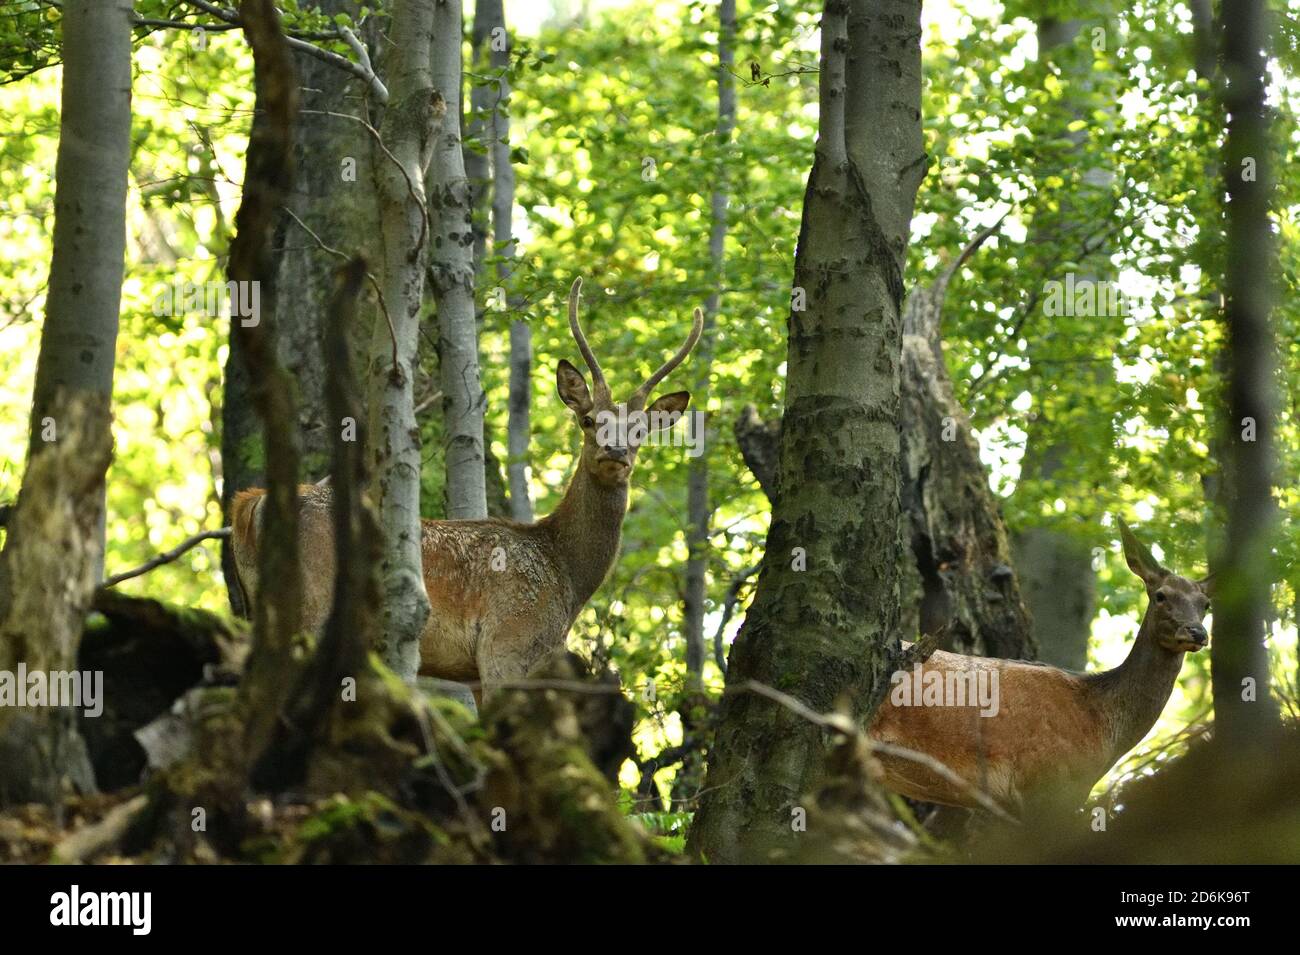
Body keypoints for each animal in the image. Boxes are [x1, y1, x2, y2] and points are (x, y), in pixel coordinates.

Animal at [231, 278, 702, 704]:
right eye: (587, 420)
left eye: (641, 430)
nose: (615, 452)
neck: (567, 575)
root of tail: (251, 506)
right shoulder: (508, 641)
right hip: (313, 602)